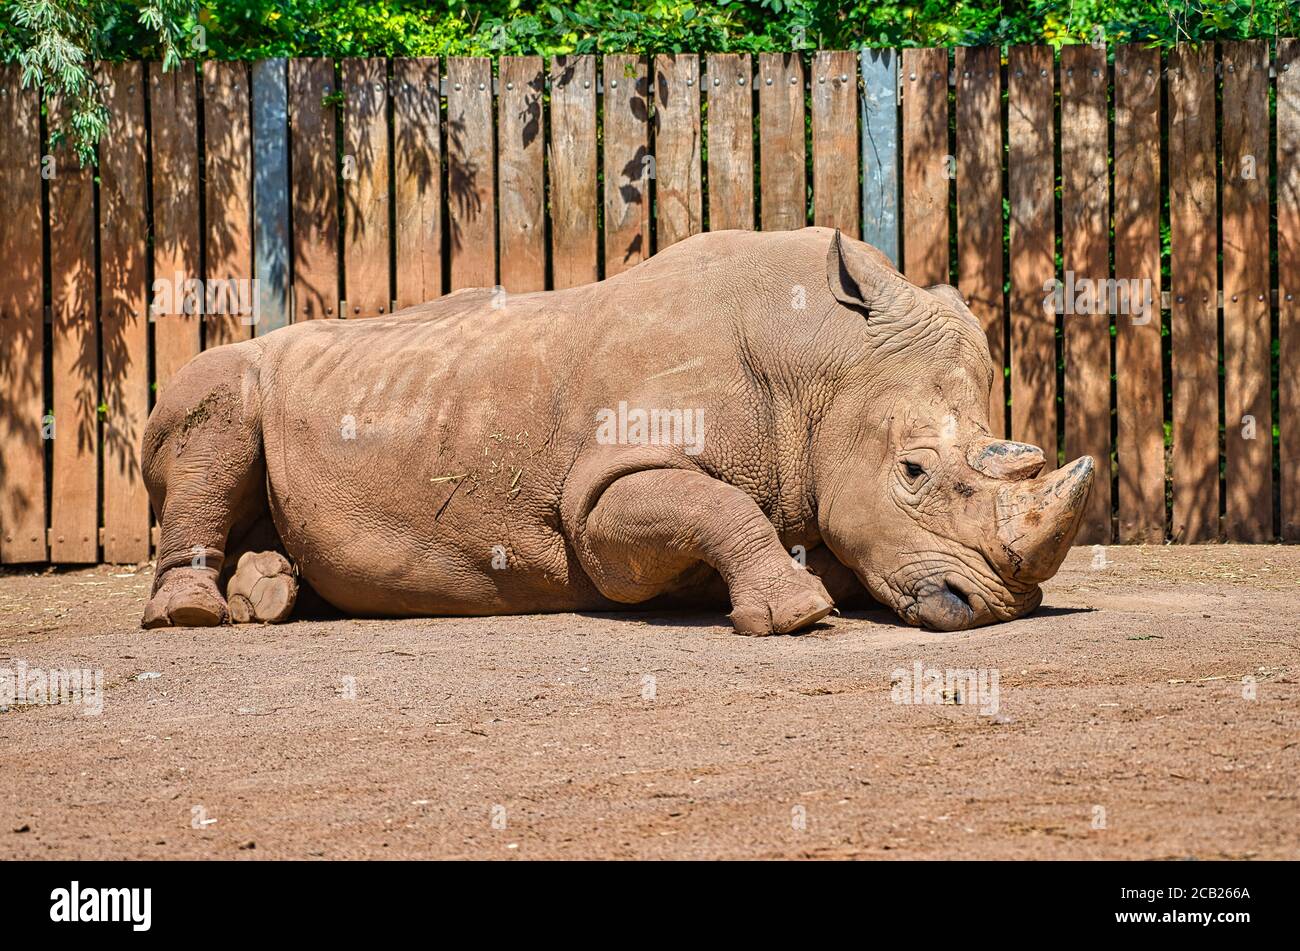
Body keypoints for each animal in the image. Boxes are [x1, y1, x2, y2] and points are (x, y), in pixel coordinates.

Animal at [141, 227, 1093, 635]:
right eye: (913, 471)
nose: (993, 608)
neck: (821, 363)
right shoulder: (605, 492)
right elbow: (716, 509)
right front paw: (796, 616)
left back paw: (267, 595)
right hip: (221, 378)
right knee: (214, 417)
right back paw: (193, 616)